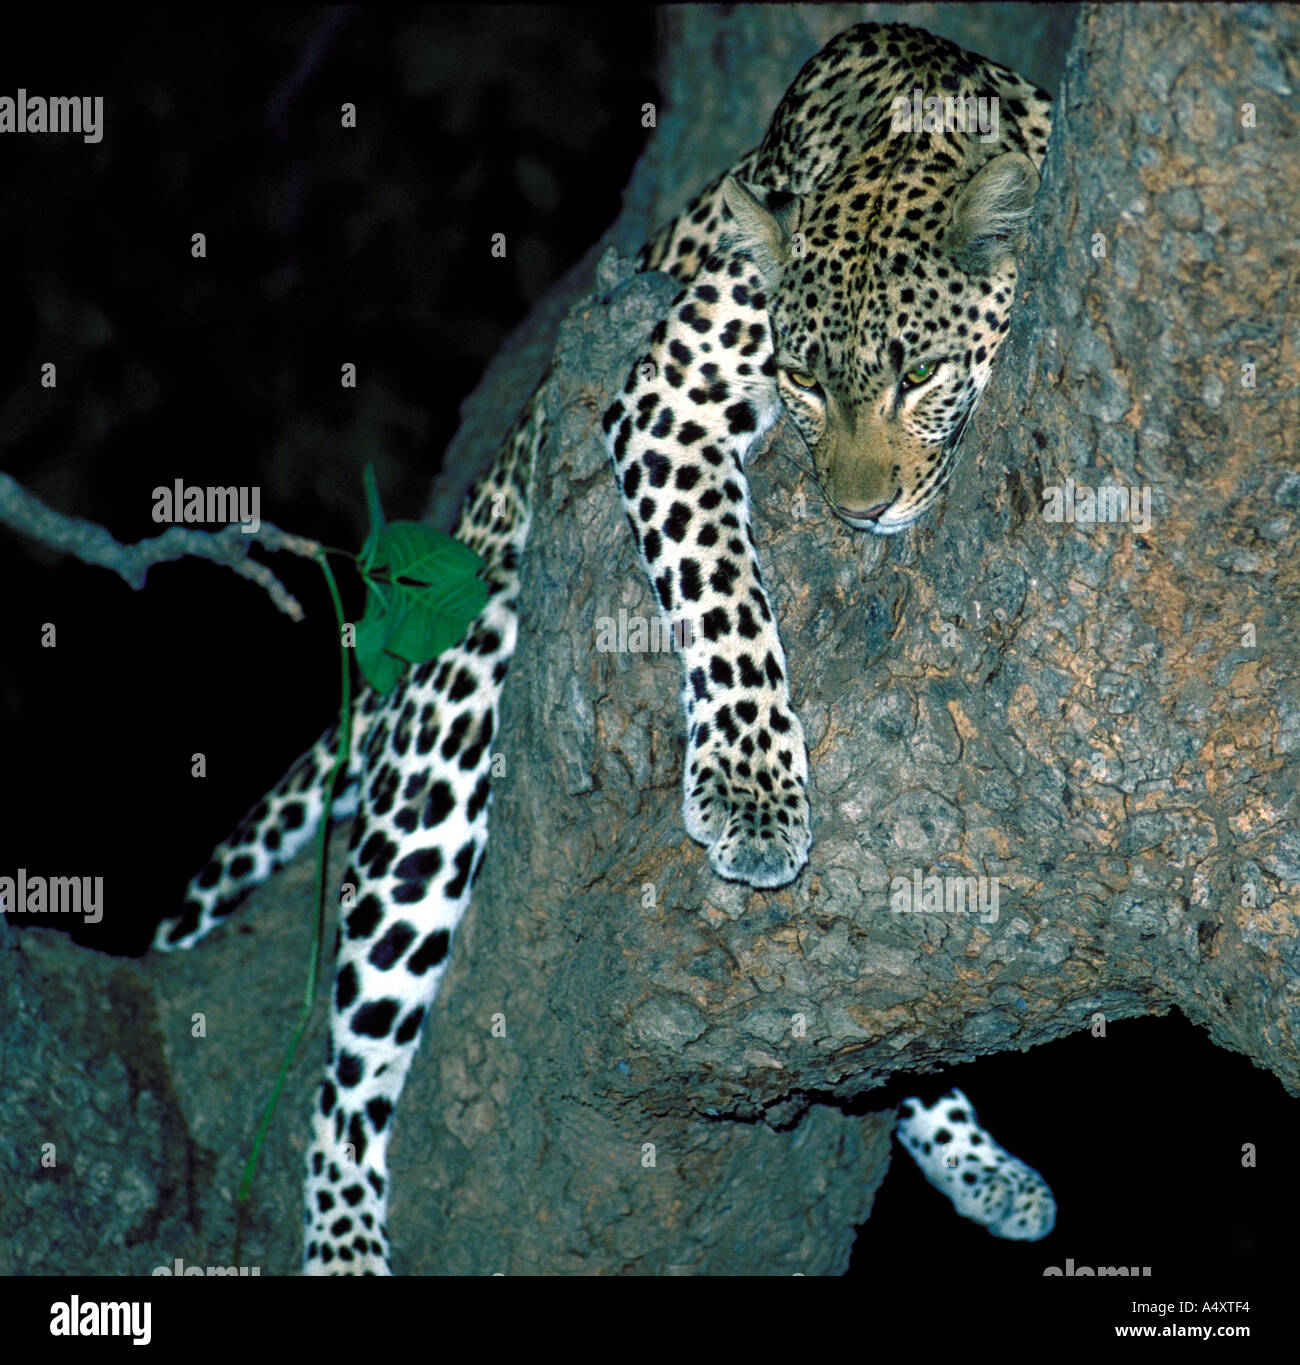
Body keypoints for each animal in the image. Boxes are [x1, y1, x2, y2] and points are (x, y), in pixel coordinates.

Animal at [152, 21, 1055, 1272]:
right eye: (803, 378)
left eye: (917, 374)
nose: (858, 510)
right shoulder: (669, 391)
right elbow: (723, 598)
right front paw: (754, 796)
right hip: (449, 732)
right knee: (343, 1075)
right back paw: (342, 1237)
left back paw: (986, 1170)